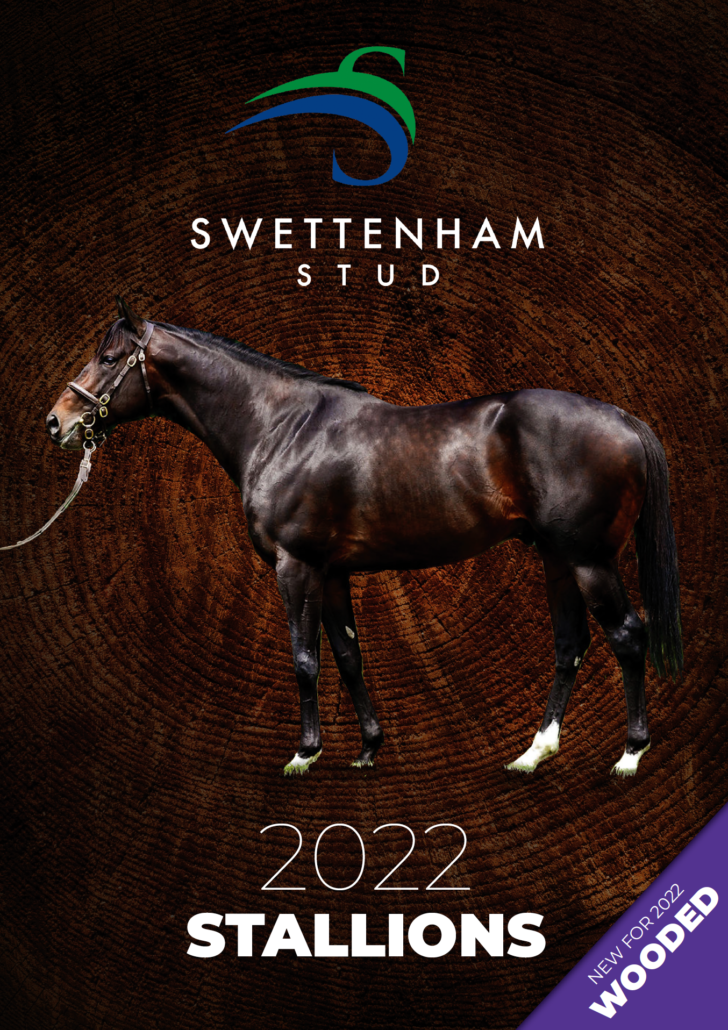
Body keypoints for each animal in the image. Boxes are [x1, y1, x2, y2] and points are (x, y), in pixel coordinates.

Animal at [46, 298, 683, 777]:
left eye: (108, 358)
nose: (57, 421)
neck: (280, 427)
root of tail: (623, 419)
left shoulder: (296, 565)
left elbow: (305, 659)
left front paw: (305, 755)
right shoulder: (331, 572)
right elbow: (349, 655)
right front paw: (368, 749)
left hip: (589, 561)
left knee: (628, 636)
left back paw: (630, 755)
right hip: (557, 560)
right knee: (570, 644)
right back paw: (534, 753)